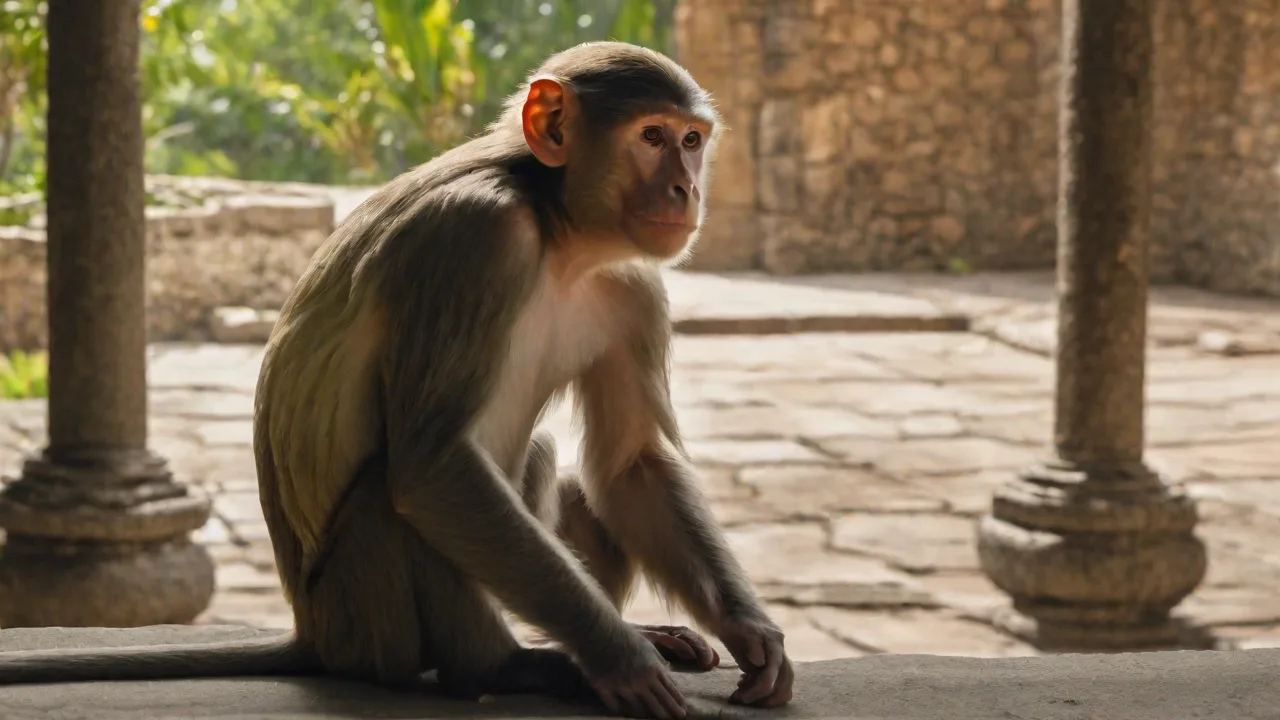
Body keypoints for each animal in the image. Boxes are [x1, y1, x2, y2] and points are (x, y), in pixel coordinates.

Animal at [0, 42, 794, 718]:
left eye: (691, 140)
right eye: (652, 137)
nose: (685, 189)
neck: (557, 231)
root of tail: (311, 632)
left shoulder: (632, 285)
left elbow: (633, 467)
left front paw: (750, 632)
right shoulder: (474, 239)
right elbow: (433, 468)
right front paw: (620, 658)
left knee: (538, 459)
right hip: (363, 622)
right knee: (399, 489)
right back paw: (504, 667)